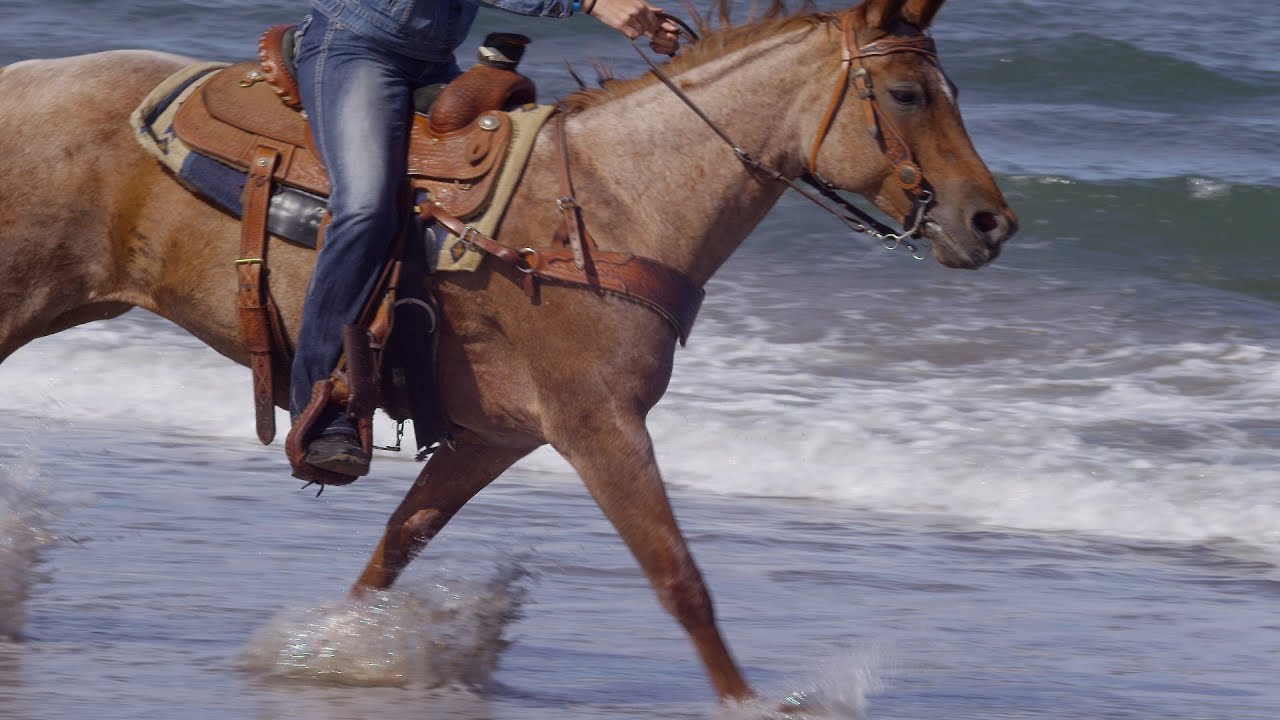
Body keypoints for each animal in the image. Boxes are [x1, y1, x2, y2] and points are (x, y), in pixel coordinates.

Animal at [0, 0, 1015, 702]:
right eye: (906, 94)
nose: (990, 222)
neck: (612, 203)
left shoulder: (499, 437)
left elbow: (395, 548)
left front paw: (331, 649)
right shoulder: (601, 428)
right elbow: (680, 578)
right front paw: (749, 703)